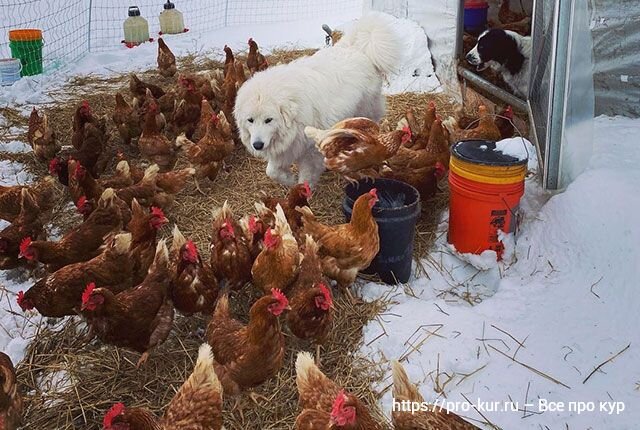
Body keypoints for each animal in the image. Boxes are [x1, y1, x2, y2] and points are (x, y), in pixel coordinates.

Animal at [235, 13, 402, 186]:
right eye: (250, 120)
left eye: (269, 120)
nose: (257, 145)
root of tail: (357, 48)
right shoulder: (286, 149)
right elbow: (272, 172)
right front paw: (289, 180)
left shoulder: (310, 150)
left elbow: (306, 174)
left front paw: (302, 188)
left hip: (366, 109)